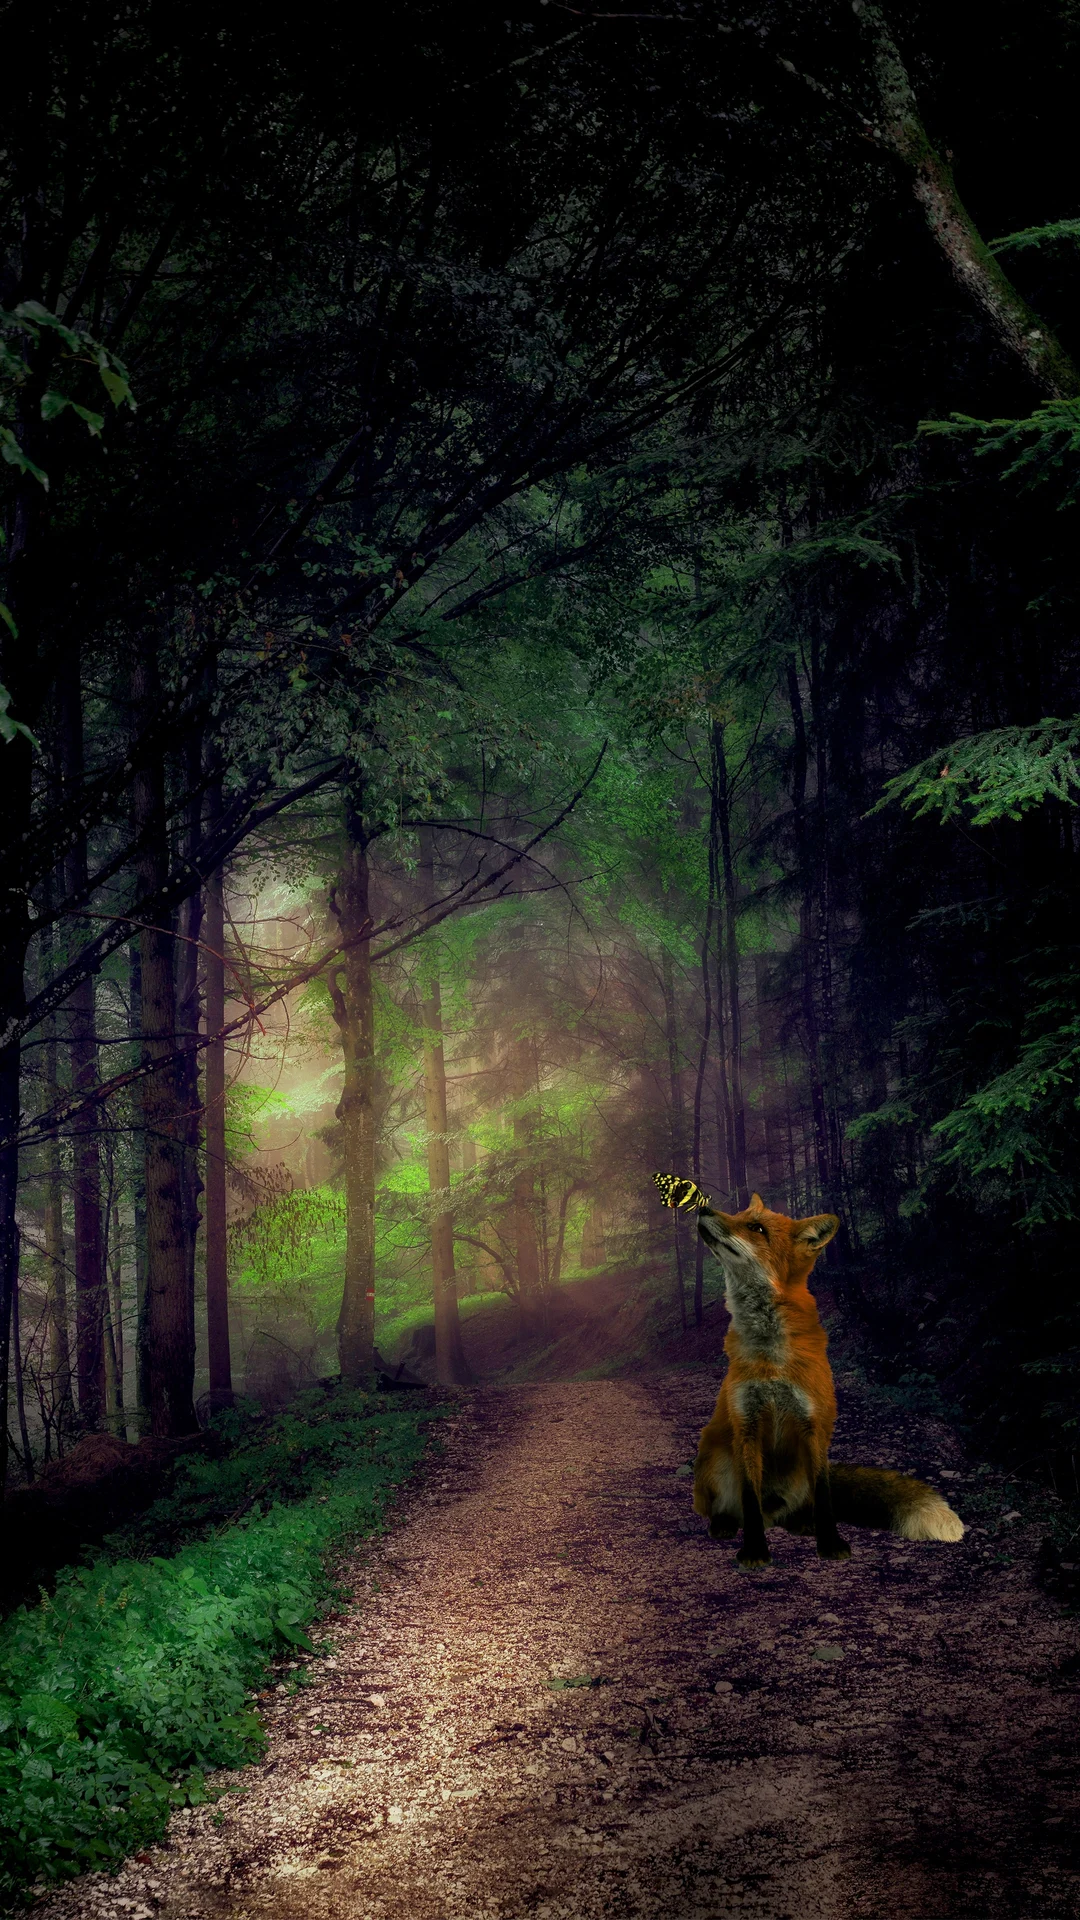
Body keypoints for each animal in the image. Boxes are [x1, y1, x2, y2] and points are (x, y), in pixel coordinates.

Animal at [657, 1180, 964, 1569]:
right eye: (741, 1213)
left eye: (756, 1227)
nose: (703, 1209)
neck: (771, 1359)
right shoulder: (747, 1425)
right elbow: (750, 1503)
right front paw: (755, 1551)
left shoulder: (812, 1424)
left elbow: (825, 1500)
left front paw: (830, 1543)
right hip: (716, 1459)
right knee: (732, 1509)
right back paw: (725, 1524)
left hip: (800, 1468)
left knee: (802, 1507)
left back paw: (802, 1523)